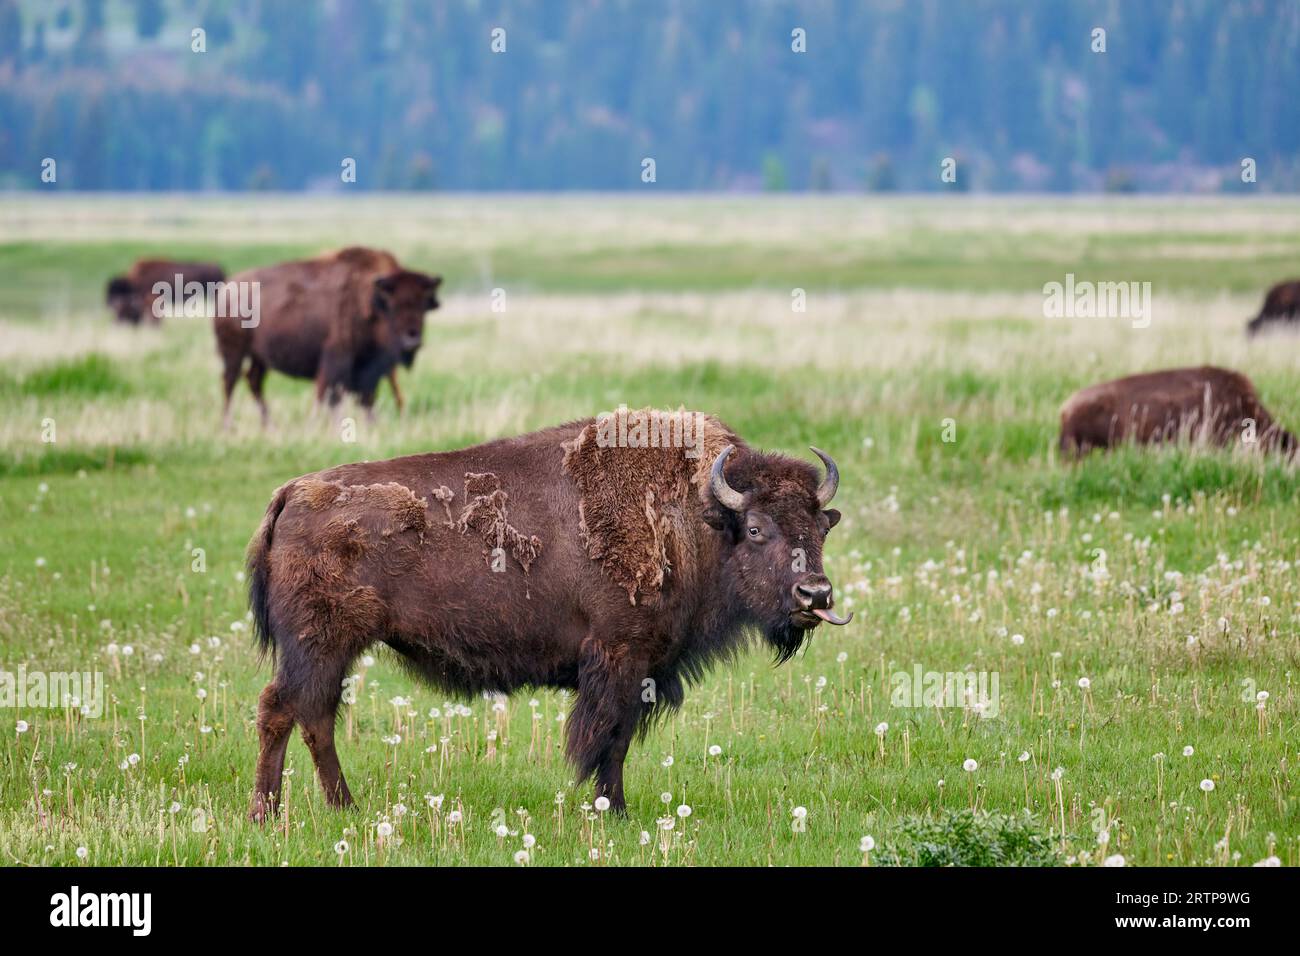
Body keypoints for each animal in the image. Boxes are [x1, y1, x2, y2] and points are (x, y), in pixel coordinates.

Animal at [213, 247, 440, 427]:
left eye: (423, 305)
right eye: (393, 306)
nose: (412, 339)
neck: (370, 299)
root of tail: (226, 288)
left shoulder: (367, 369)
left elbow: (364, 398)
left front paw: (370, 425)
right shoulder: (336, 359)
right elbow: (329, 395)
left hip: (259, 358)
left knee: (253, 381)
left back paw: (269, 425)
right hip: (234, 352)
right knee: (230, 382)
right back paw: (228, 426)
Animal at [245, 408, 849, 819]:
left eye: (820, 528)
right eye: (756, 529)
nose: (815, 594)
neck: (696, 518)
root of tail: (291, 492)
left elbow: (616, 739)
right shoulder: (621, 658)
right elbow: (609, 737)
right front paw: (613, 811)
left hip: (333, 651)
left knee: (314, 716)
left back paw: (339, 808)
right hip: (320, 643)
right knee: (283, 709)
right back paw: (269, 814)